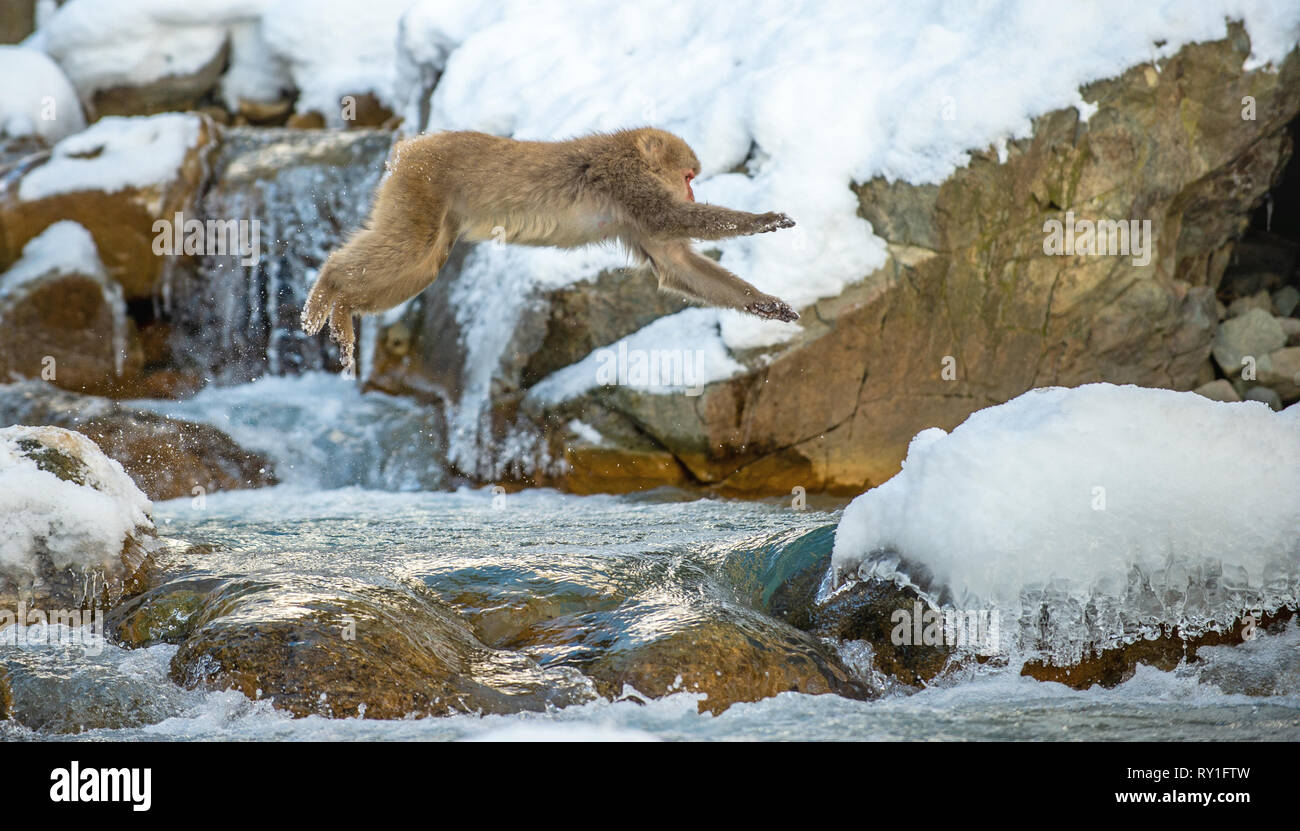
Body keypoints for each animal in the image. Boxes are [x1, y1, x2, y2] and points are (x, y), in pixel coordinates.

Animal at [301, 127, 799, 372]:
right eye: (690, 177)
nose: (692, 193)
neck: (629, 154)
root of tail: (409, 147)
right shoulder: (627, 181)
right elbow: (667, 219)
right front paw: (762, 220)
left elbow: (676, 265)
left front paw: (769, 305)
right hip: (419, 188)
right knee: (405, 248)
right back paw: (329, 285)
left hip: (428, 205)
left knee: (422, 266)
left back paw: (344, 312)